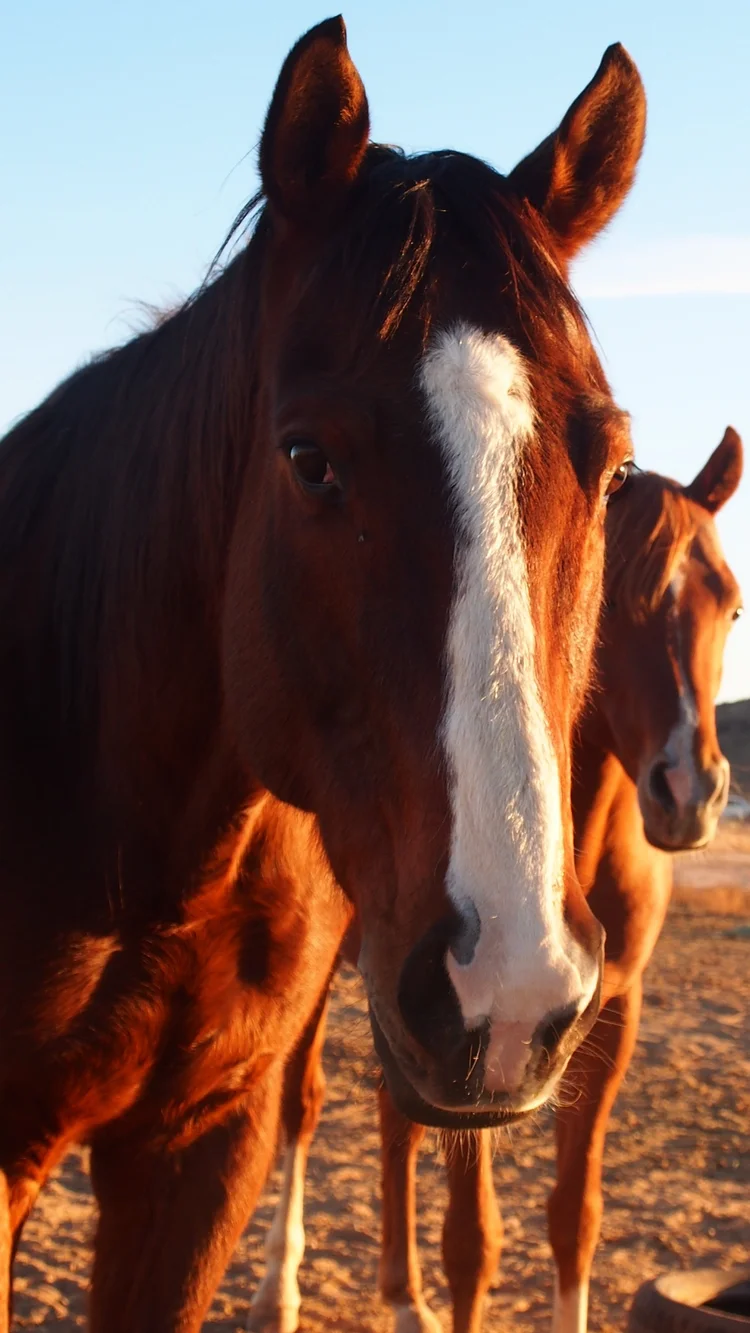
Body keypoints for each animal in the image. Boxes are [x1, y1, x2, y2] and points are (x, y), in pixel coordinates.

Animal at [248, 428, 744, 1333]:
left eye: (728, 606)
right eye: (616, 603)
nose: (690, 792)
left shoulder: (612, 1015)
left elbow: (573, 1218)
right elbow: (472, 1242)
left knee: (393, 1118)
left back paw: (402, 1298)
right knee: (302, 1103)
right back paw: (278, 1288)